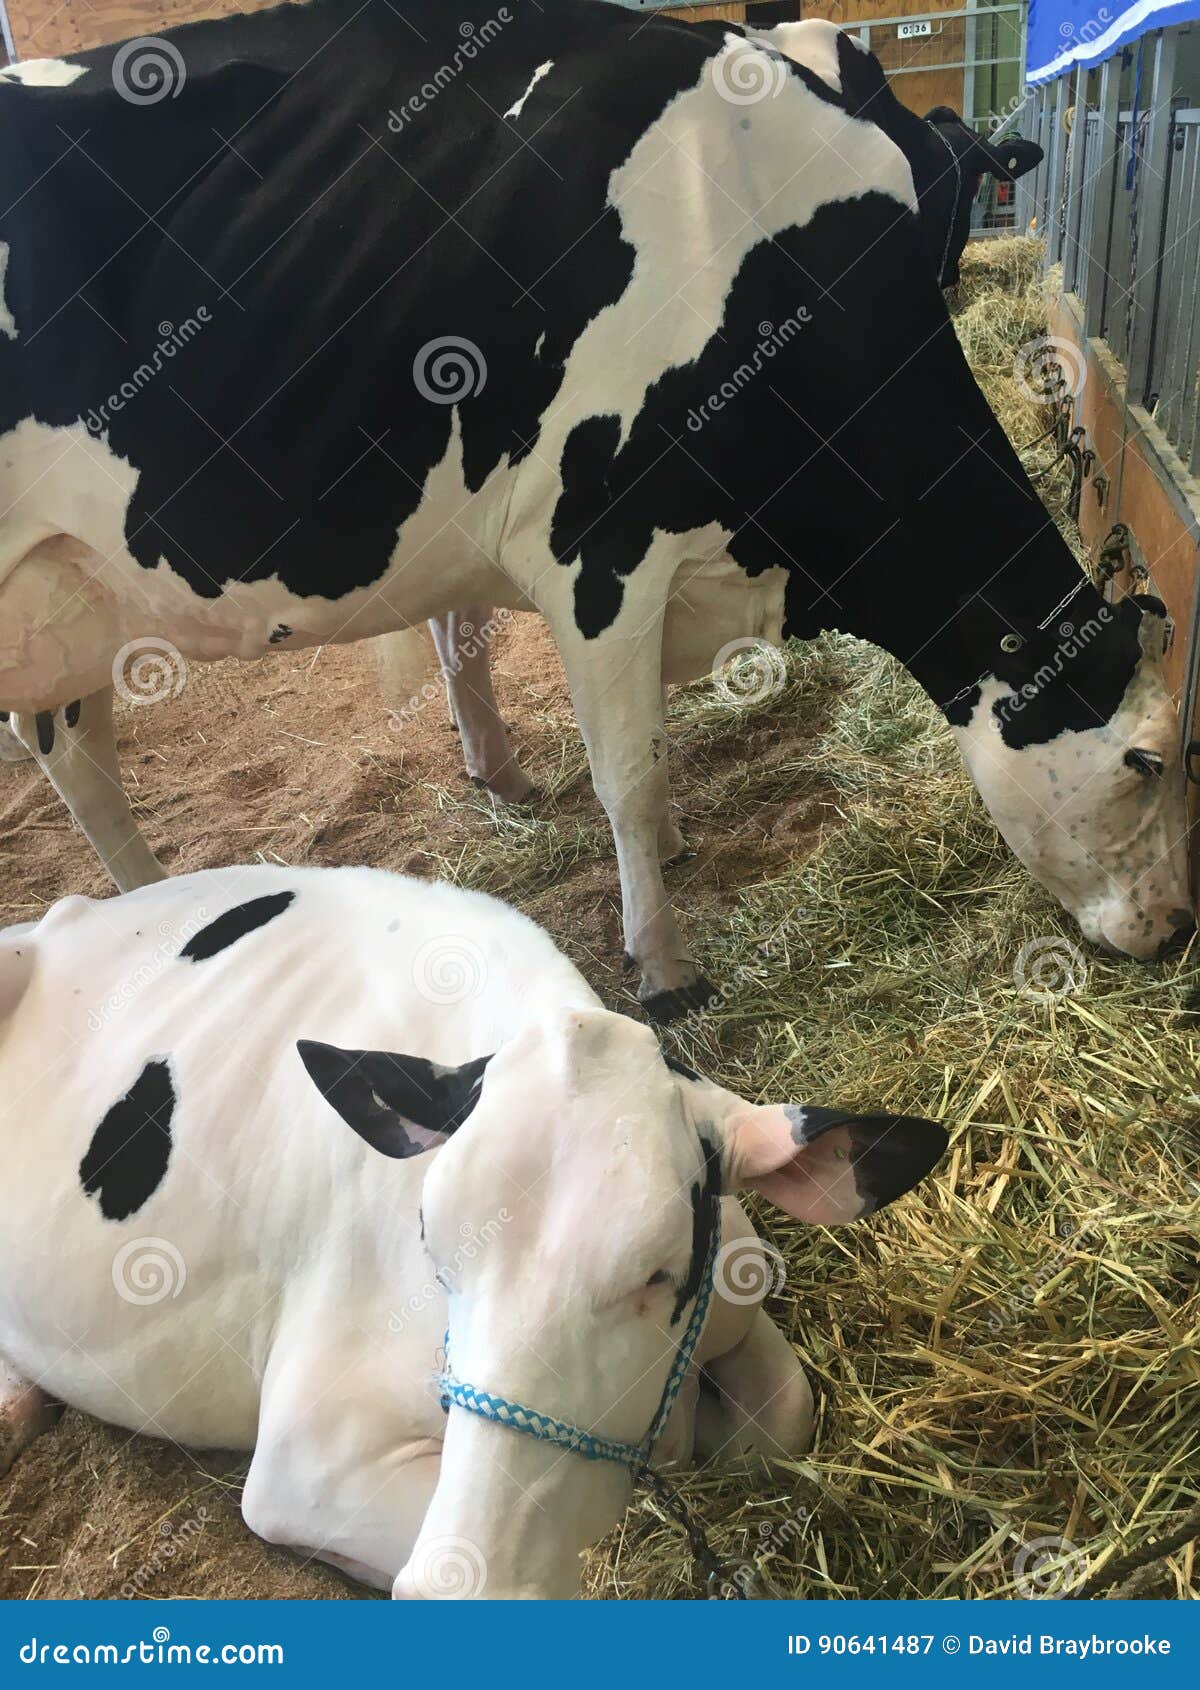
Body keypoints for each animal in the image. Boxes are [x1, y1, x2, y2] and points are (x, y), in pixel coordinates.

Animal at [0, 1, 1190, 1023]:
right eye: (1148, 762)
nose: (1177, 928)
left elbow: (647, 744)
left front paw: (668, 851)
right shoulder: (601, 550)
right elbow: (627, 767)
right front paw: (664, 968)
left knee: (74, 752)